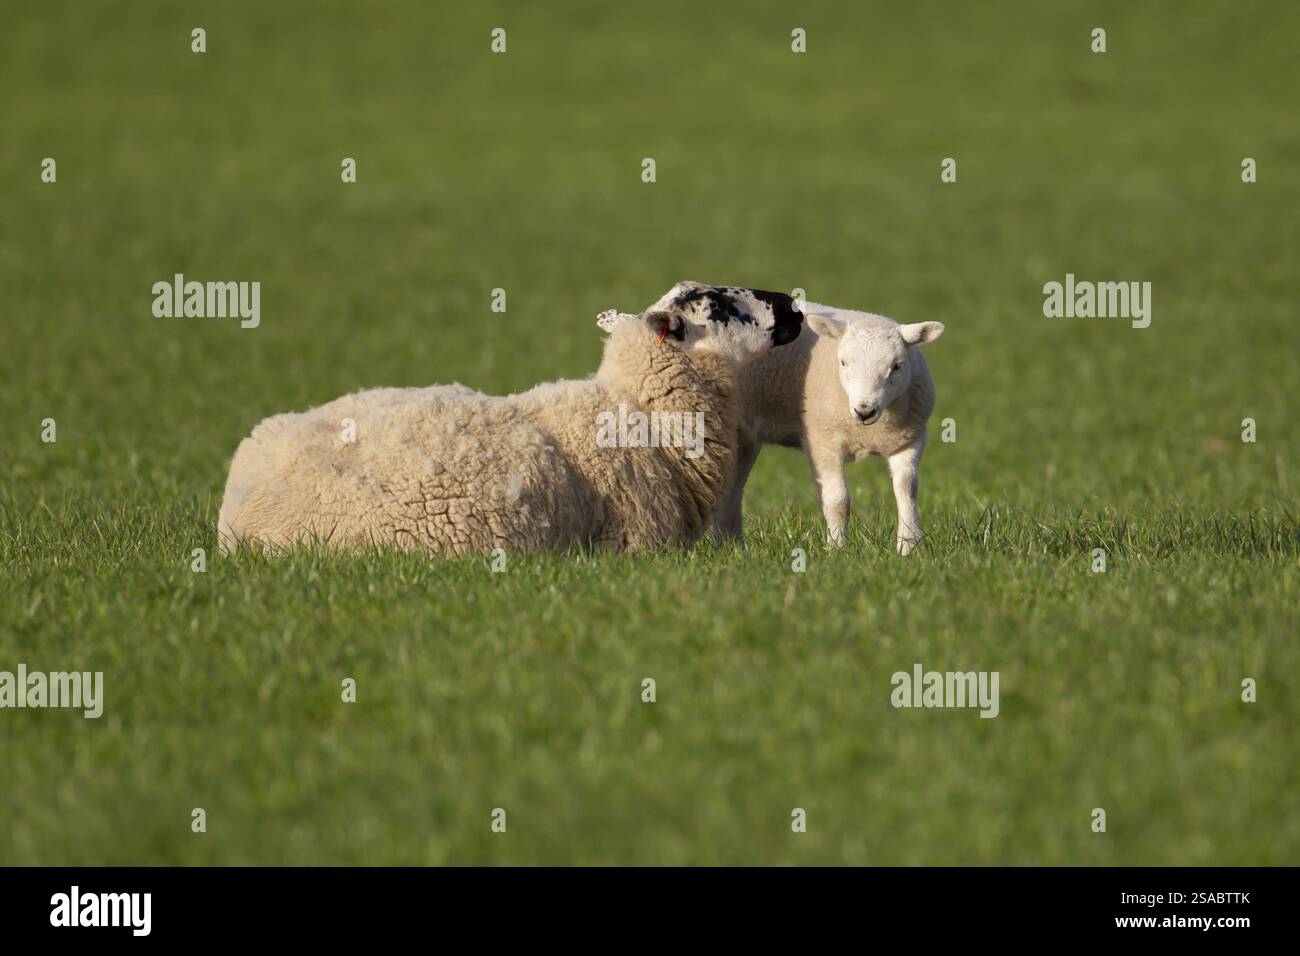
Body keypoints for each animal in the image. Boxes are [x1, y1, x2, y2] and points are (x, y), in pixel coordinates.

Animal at [595, 302, 944, 554]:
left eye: (896, 367)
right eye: (843, 363)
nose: (864, 410)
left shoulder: (909, 440)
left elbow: (907, 489)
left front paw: (908, 547)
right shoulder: (823, 442)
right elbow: (838, 501)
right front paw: (837, 552)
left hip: (744, 439)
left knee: (731, 494)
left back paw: (733, 551)